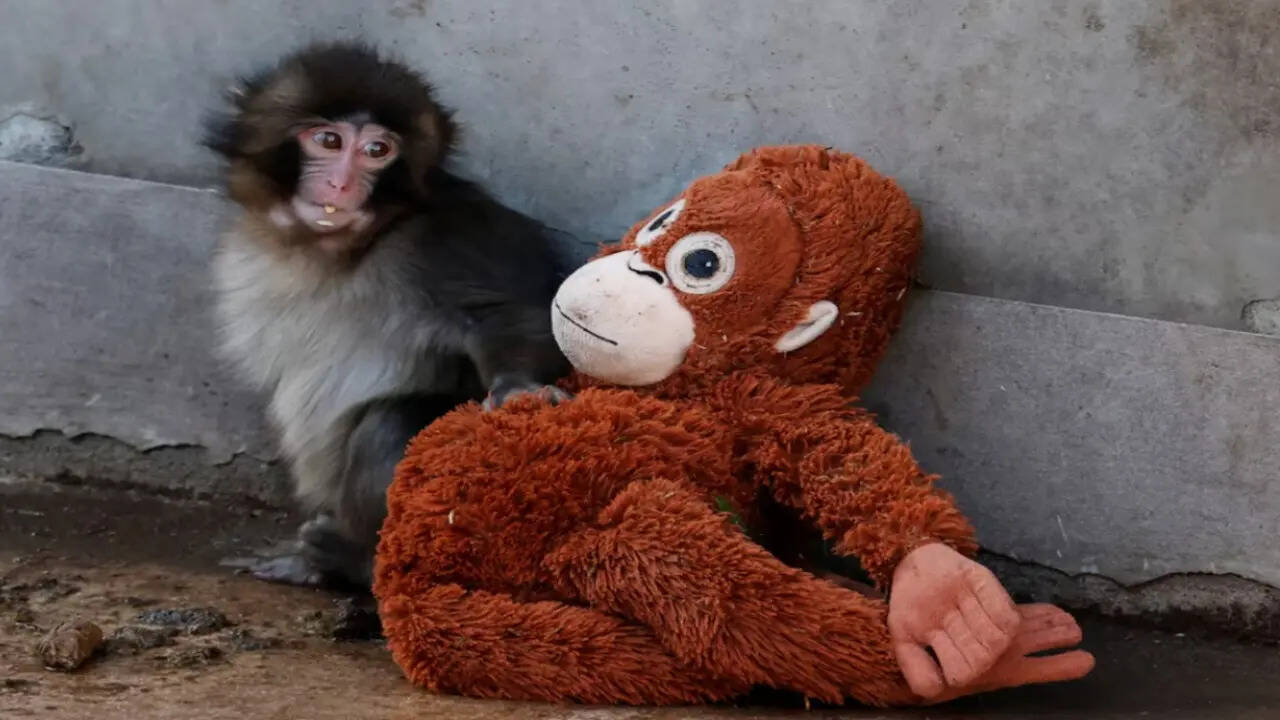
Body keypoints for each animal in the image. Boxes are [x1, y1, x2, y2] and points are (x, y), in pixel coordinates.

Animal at [203, 43, 570, 589]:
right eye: (329, 140)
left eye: (378, 151)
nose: (341, 184)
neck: (339, 251)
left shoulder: (445, 239)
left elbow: (509, 314)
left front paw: (519, 387)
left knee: (390, 424)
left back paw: (353, 560)